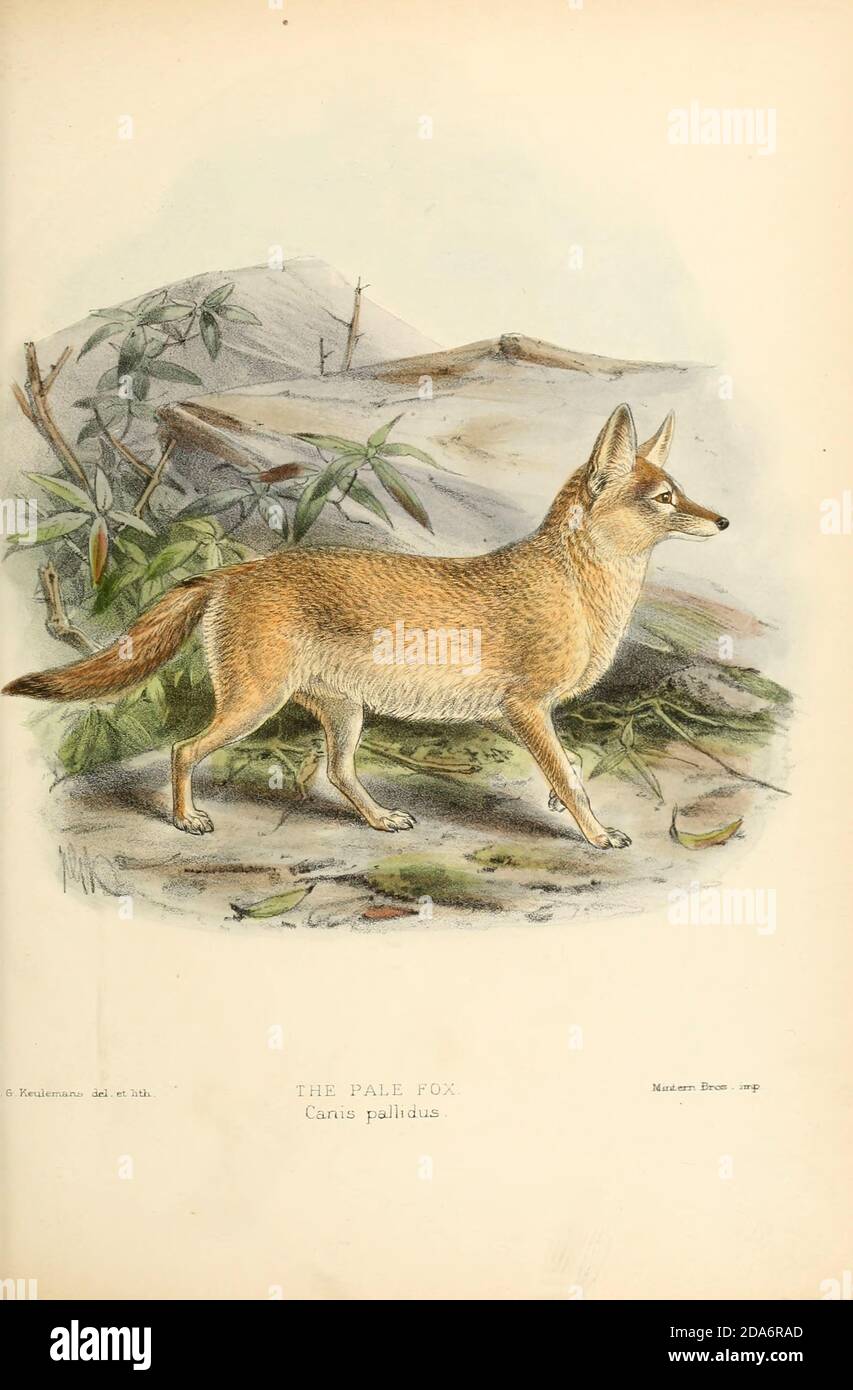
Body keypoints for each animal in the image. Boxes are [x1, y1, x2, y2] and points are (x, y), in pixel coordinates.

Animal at [3, 403, 728, 849]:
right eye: (665, 498)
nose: (722, 521)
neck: (578, 585)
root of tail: (234, 572)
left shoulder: (509, 713)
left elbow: (568, 767)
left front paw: (559, 802)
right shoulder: (525, 708)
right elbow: (571, 780)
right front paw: (595, 834)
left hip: (343, 713)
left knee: (338, 774)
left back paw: (379, 819)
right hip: (255, 704)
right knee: (185, 750)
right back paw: (186, 820)